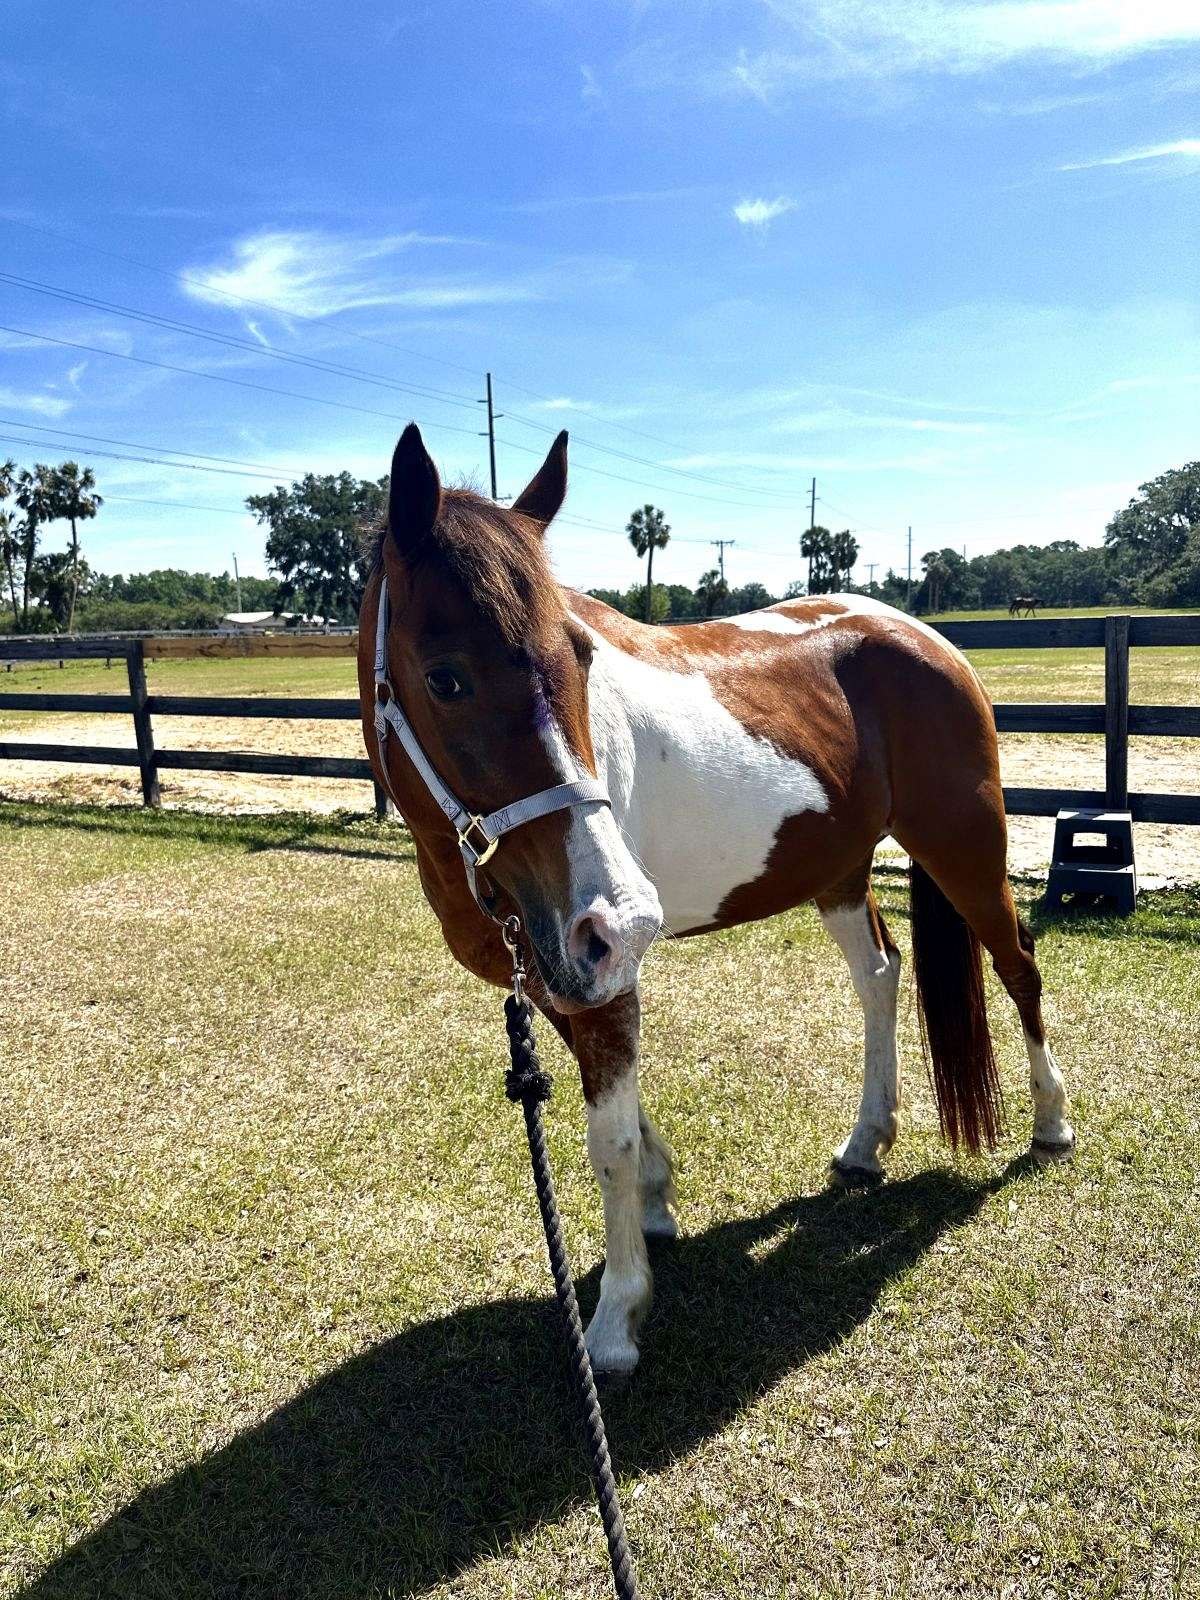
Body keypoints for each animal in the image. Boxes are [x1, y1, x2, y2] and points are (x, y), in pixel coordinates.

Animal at [359, 425, 1075, 1376]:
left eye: (580, 655)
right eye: (444, 678)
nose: (629, 915)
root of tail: (928, 637)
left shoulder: (600, 971)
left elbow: (608, 1141)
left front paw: (617, 1317)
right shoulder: (569, 971)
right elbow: (625, 1114)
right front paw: (659, 1203)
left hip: (965, 847)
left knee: (1019, 966)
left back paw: (1051, 1122)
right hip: (836, 871)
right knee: (879, 976)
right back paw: (865, 1143)